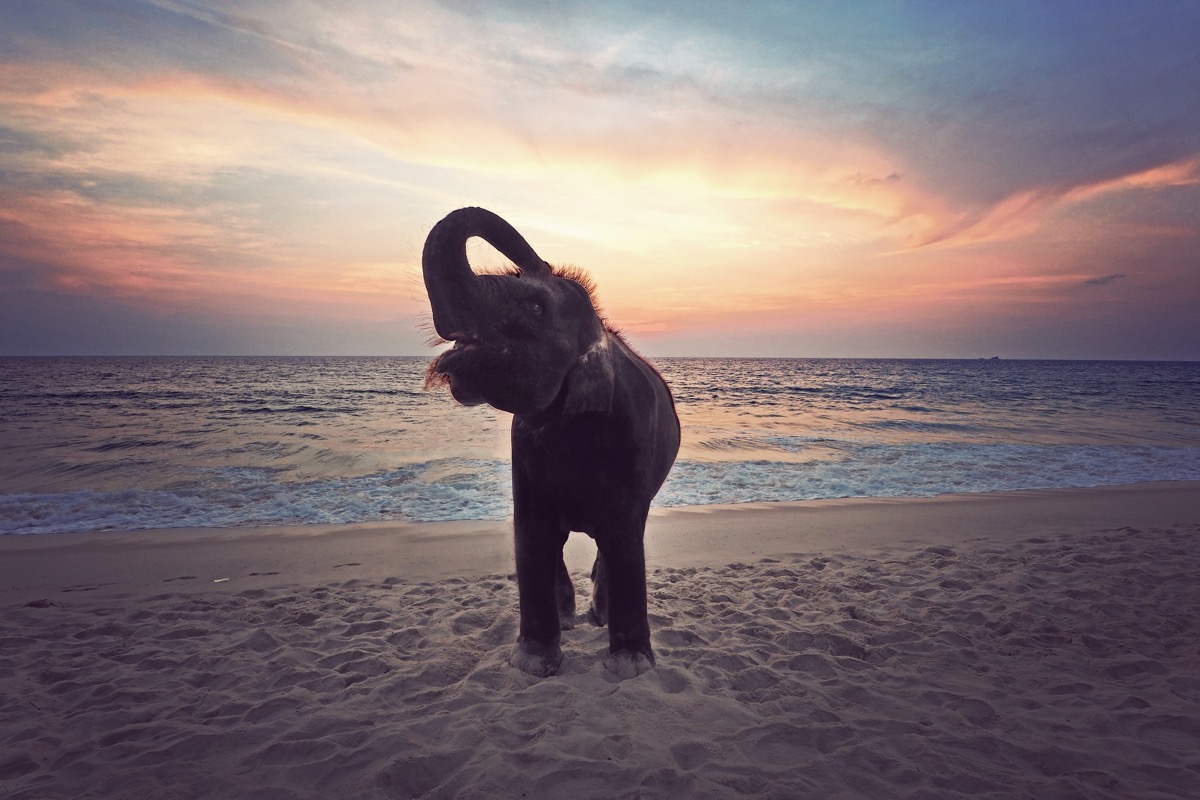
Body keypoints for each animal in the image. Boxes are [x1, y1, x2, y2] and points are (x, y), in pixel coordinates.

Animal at [422, 207, 680, 679]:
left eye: (535, 307)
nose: (542, 262)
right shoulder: (523, 448)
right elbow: (533, 536)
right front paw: (533, 663)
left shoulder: (630, 447)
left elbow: (623, 538)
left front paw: (629, 667)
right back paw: (570, 619)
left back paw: (598, 617)